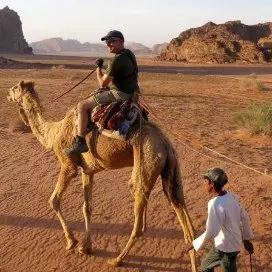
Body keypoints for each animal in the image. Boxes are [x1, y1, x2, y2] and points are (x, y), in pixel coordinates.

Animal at [7, 81, 197, 272]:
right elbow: (87, 207)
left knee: (139, 218)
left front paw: (71, 241)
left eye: (15, 88)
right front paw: (86, 247)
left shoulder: (68, 165)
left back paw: (117, 260)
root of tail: (166, 143)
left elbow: (54, 200)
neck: (54, 132)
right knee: (183, 216)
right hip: (172, 171)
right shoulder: (87, 171)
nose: (8, 93)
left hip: (146, 160)